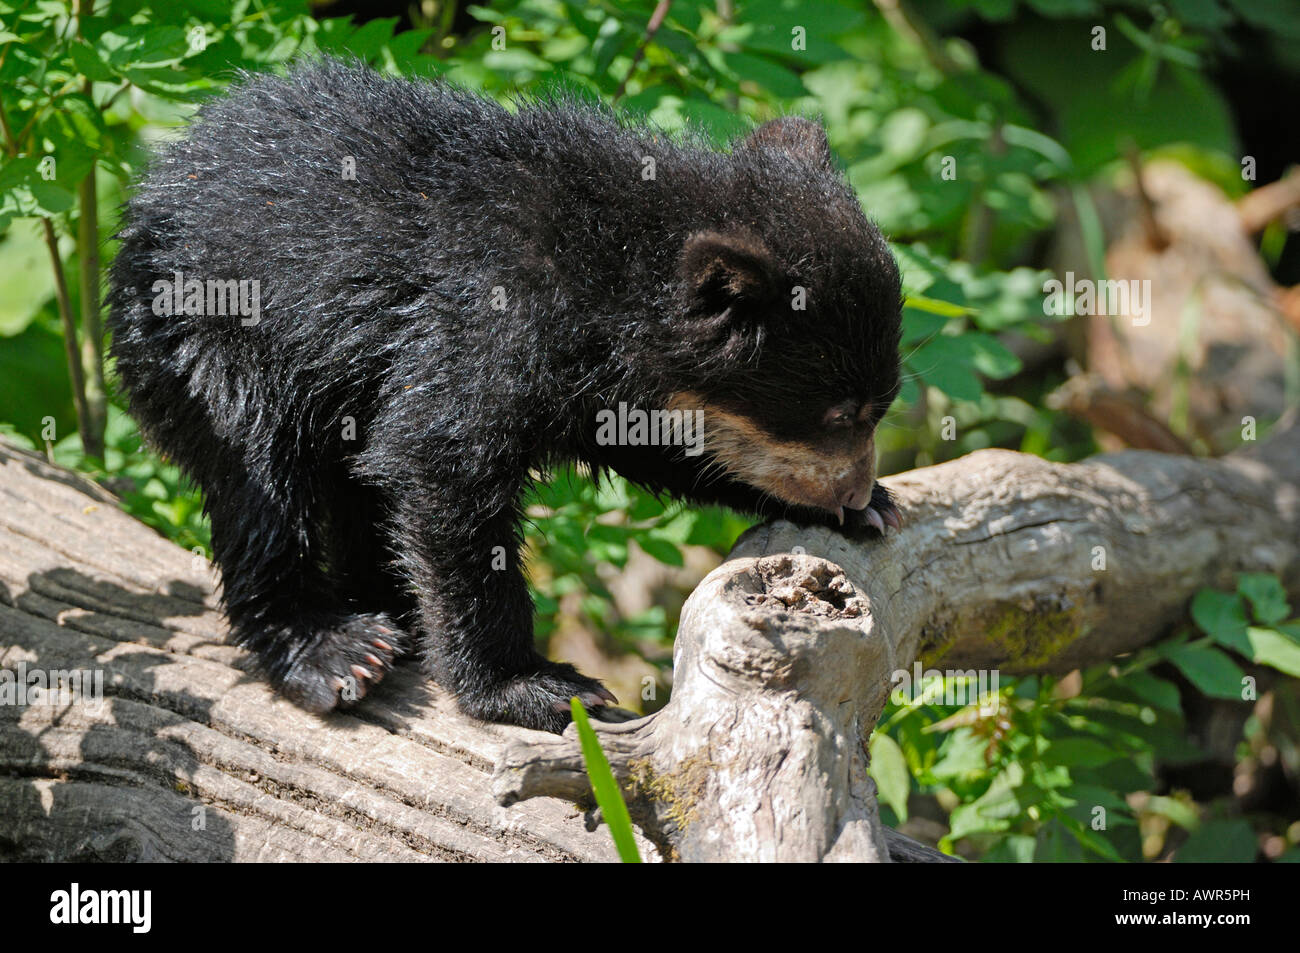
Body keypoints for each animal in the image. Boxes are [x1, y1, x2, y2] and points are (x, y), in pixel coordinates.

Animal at [107, 59, 903, 733]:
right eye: (840, 414)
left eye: (881, 407)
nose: (852, 487)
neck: (610, 272)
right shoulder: (487, 324)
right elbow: (442, 466)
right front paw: (532, 685)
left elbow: (656, 443)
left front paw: (871, 507)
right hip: (210, 340)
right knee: (262, 482)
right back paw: (333, 650)